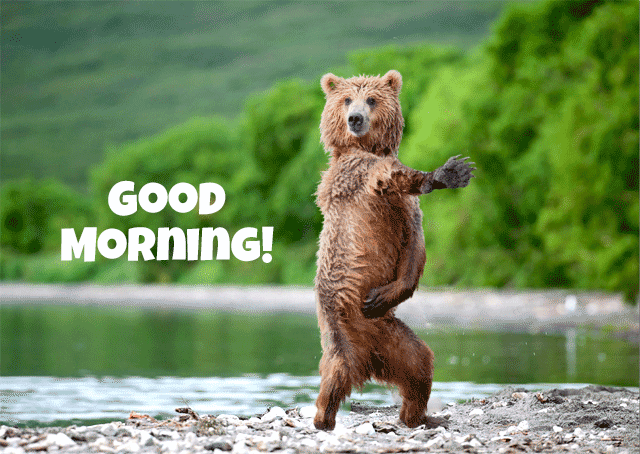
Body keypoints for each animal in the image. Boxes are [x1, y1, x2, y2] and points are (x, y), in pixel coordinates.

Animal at [313, 70, 474, 431]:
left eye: (371, 99)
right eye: (347, 99)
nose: (355, 118)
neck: (364, 147)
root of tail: (367, 359)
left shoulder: (406, 211)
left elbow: (415, 246)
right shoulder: (360, 176)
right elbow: (389, 176)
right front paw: (446, 173)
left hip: (390, 335)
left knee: (419, 363)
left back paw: (419, 416)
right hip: (340, 328)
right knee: (335, 371)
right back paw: (322, 417)